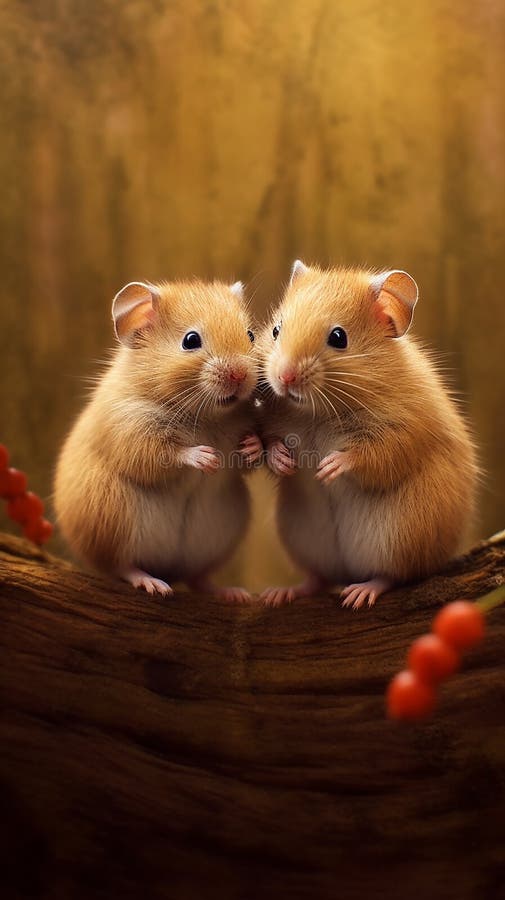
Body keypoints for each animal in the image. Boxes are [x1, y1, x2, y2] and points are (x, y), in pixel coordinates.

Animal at [54, 278, 262, 600]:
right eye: (190, 340)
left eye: (250, 335)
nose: (240, 376)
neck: (206, 415)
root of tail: (168, 570)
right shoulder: (131, 428)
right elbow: (167, 452)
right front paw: (206, 457)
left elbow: (248, 457)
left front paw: (252, 447)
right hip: (114, 518)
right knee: (121, 565)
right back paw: (154, 585)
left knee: (197, 577)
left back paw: (232, 593)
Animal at [257, 261, 478, 609]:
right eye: (277, 330)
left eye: (338, 337)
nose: (285, 377)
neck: (316, 411)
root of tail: (349, 573)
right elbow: (269, 442)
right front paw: (286, 462)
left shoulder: (402, 433)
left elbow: (368, 455)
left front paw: (328, 468)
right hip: (302, 538)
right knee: (318, 579)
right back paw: (279, 594)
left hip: (400, 538)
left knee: (392, 576)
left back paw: (359, 595)